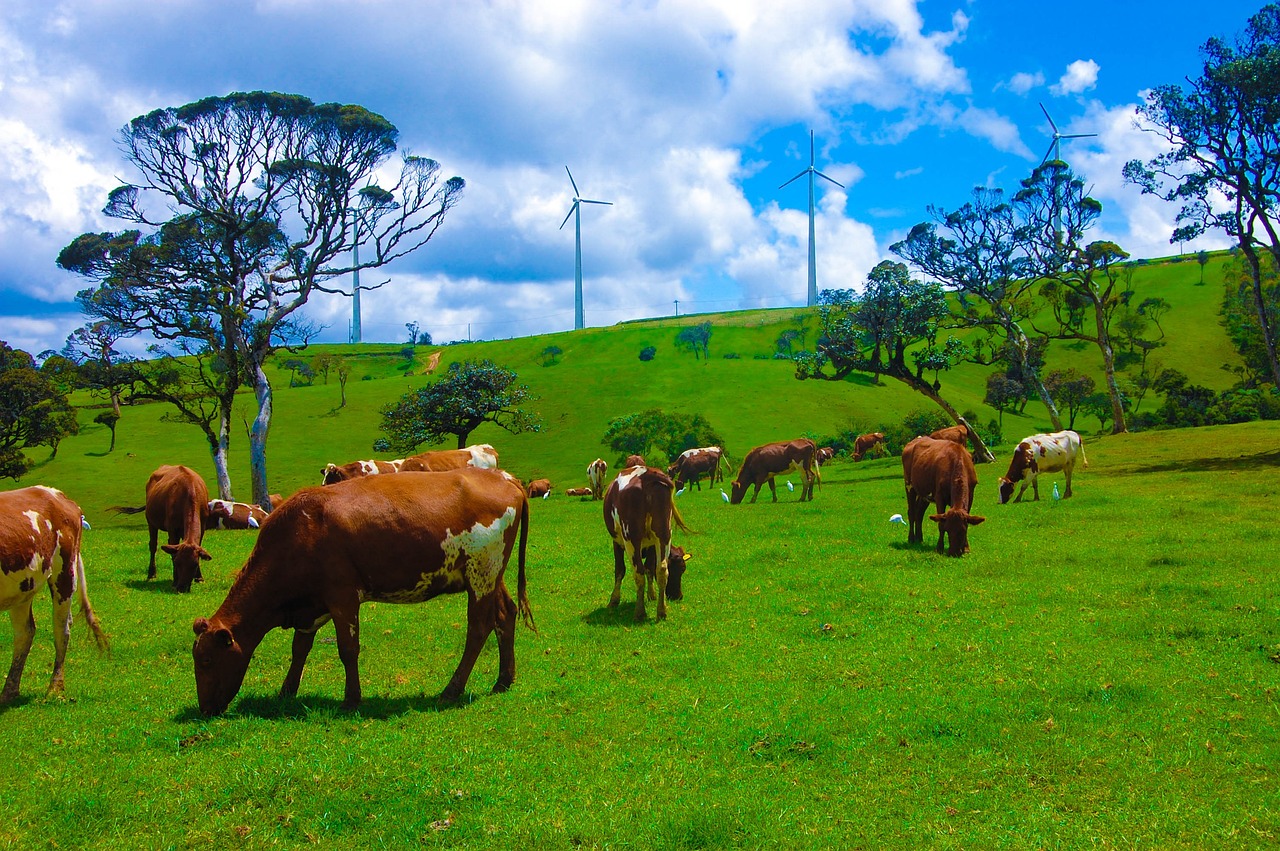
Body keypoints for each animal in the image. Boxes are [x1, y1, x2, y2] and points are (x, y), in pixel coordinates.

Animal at [0, 483, 108, 701]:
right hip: (23, 587)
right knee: (25, 633)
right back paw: (9, 691)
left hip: (65, 572)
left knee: (62, 629)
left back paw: (55, 687)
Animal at [186, 468, 532, 711]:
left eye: (206, 661)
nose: (205, 708)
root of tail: (505, 478)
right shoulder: (312, 606)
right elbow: (300, 648)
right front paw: (286, 691)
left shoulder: (343, 596)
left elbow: (347, 649)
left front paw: (352, 698)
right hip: (490, 574)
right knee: (505, 615)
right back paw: (503, 680)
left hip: (482, 573)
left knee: (479, 628)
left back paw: (452, 689)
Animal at [601, 468, 691, 621]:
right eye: (682, 569)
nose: (678, 596)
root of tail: (647, 474)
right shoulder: (652, 546)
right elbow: (650, 568)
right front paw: (652, 595)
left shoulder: (617, 542)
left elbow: (620, 570)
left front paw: (614, 600)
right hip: (664, 535)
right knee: (661, 570)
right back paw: (661, 611)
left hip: (631, 539)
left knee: (638, 572)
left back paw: (640, 612)